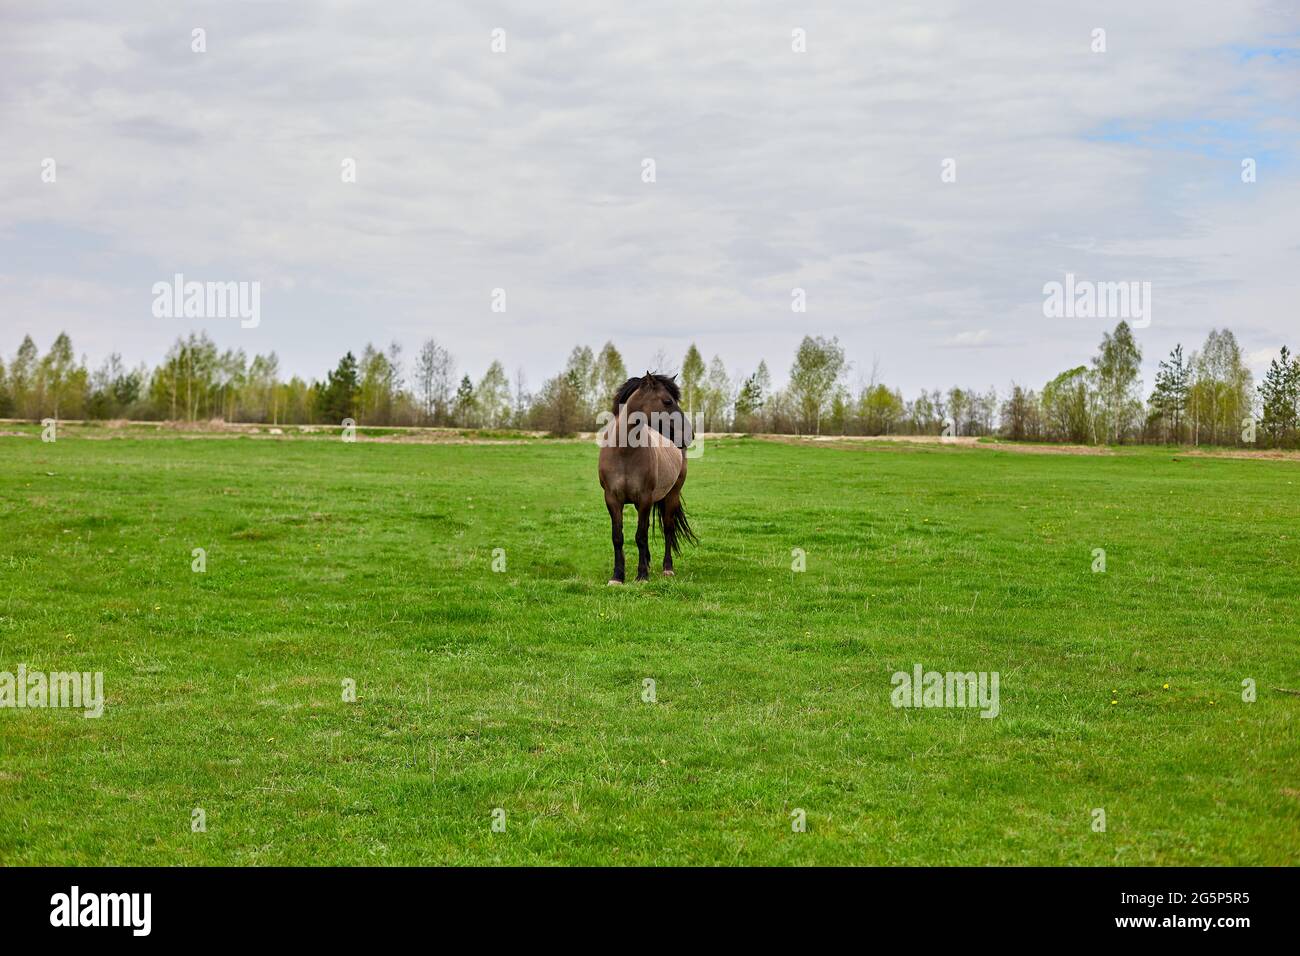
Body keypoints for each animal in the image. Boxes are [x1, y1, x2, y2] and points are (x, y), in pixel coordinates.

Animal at [597, 372, 698, 584]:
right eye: (667, 401)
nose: (690, 434)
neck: (624, 453)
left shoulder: (644, 498)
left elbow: (641, 536)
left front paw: (642, 575)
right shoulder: (612, 499)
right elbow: (617, 537)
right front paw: (617, 576)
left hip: (671, 495)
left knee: (668, 529)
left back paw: (667, 568)